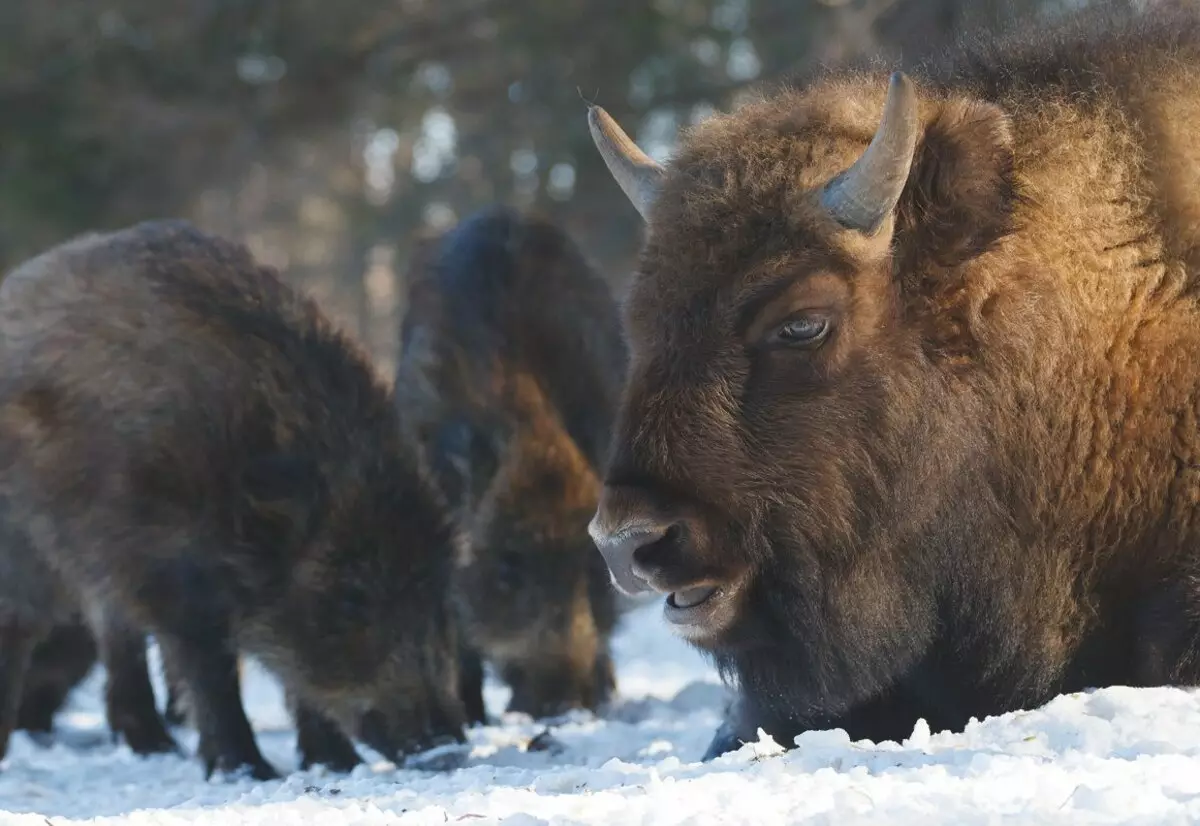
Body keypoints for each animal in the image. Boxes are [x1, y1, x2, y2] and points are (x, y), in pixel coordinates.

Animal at [0, 217, 470, 773]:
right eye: (353, 597)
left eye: (437, 595)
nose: (447, 747)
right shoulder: (169, 577)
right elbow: (213, 675)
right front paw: (250, 771)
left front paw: (336, 764)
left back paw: (154, 747)